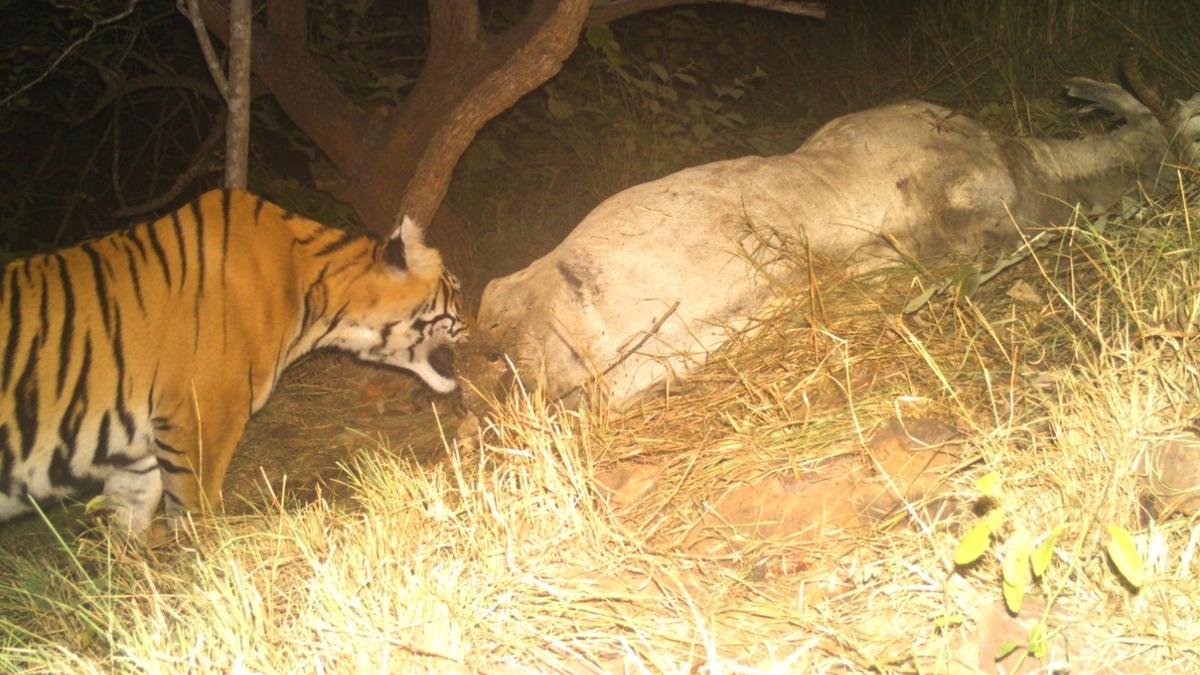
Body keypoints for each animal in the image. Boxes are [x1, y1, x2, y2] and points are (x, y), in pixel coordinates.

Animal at [0, 188, 467, 536]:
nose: (470, 329)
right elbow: (195, 510)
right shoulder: (201, 418)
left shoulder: (138, 450)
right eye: (456, 291)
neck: (317, 298)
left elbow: (130, 523)